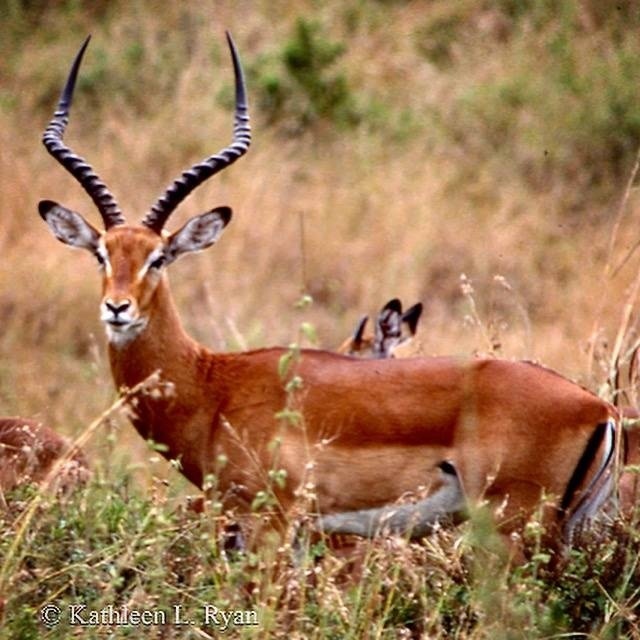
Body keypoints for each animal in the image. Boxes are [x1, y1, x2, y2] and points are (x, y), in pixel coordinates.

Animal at [38, 34, 620, 551]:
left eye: (158, 257)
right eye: (102, 254)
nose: (117, 308)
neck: (212, 385)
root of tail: (601, 409)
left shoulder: (269, 524)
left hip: (510, 532)